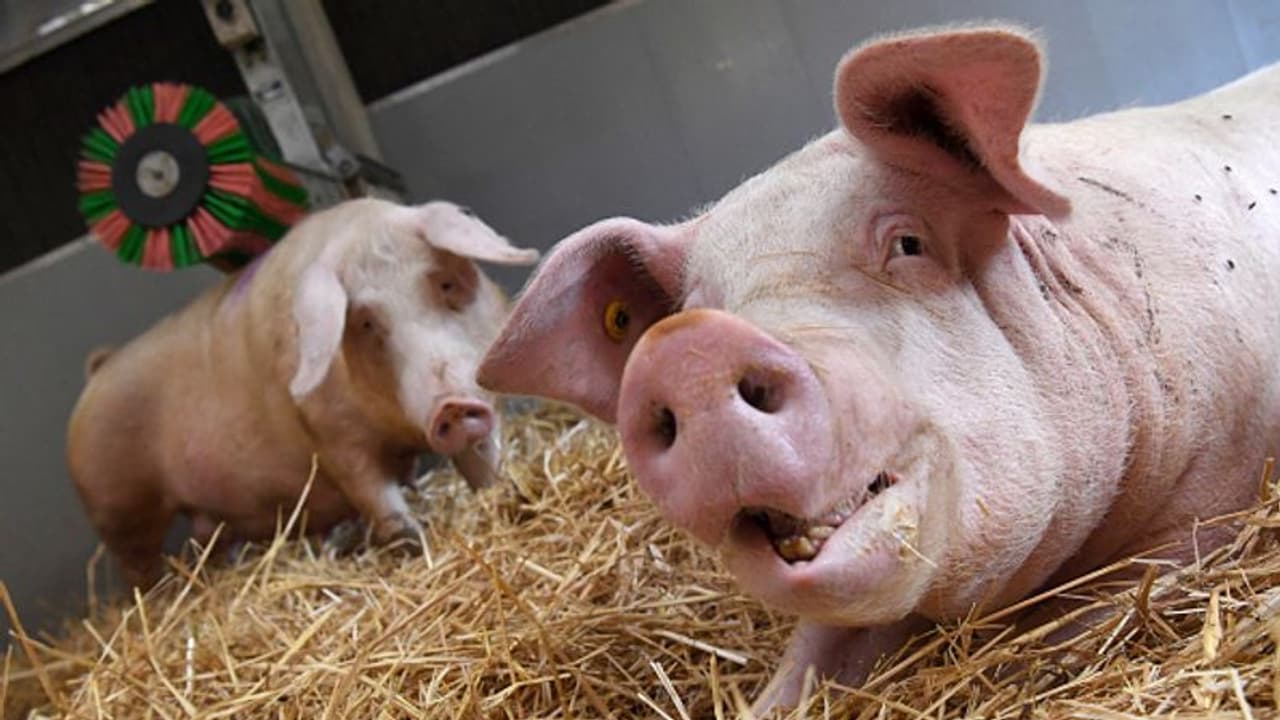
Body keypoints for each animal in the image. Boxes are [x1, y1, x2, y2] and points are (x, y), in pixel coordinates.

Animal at [68, 198, 538, 589]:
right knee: (138, 566)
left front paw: (505, 497)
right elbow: (377, 496)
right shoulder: (333, 438)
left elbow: (484, 467)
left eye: (444, 284)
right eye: (366, 322)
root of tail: (97, 373)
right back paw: (162, 594)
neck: (398, 432)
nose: (452, 407)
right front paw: (413, 542)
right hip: (119, 507)